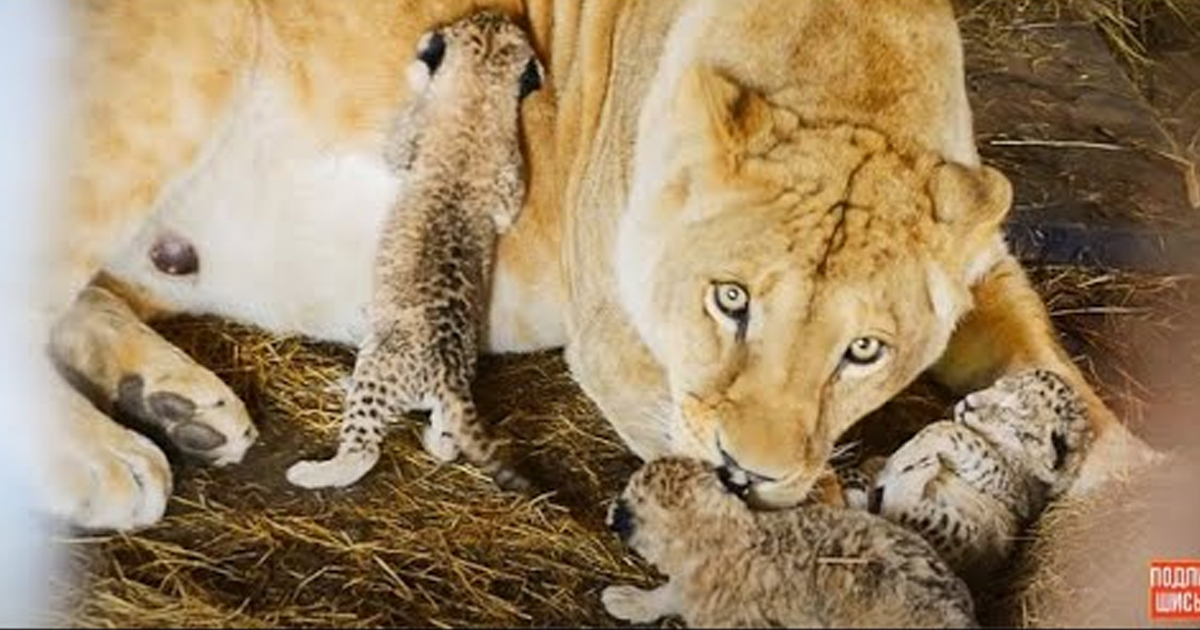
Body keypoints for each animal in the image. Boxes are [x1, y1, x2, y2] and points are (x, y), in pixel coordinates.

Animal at [35, 0, 1158, 531]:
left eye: (866, 352)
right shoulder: (621, 346)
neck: (852, 75)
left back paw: (177, 402)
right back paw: (107, 461)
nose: (750, 468)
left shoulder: (984, 262)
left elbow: (1057, 371)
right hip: (174, 69)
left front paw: (1132, 488)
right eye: (730, 301)